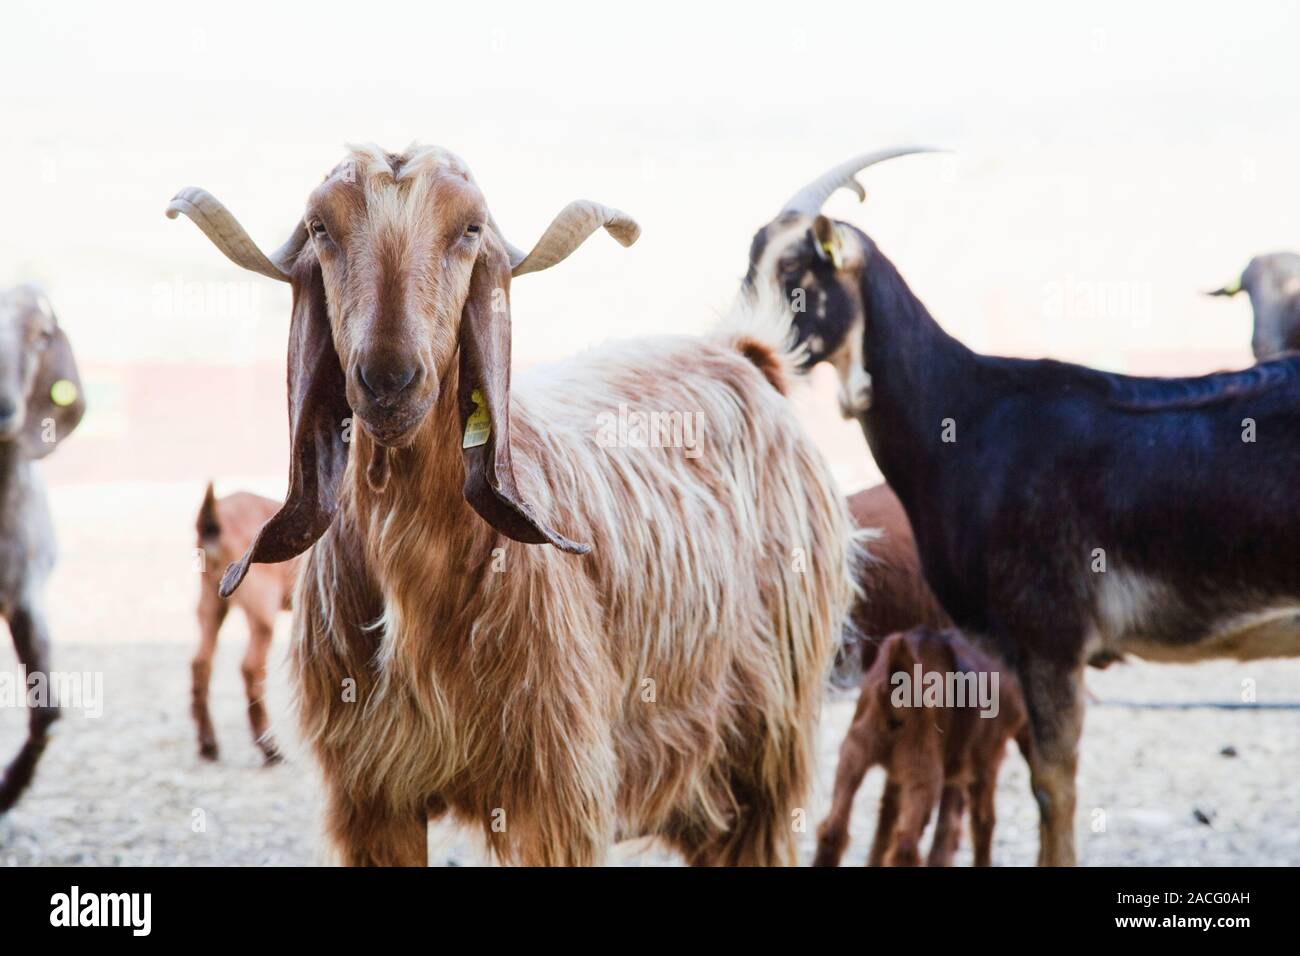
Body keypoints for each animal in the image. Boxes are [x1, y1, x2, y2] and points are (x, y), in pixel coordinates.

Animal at [192, 483, 297, 764]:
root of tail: (213, 518)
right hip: (261, 609)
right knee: (250, 668)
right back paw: (268, 747)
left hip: (211, 602)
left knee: (201, 663)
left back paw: (208, 743)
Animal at [814, 627, 1028, 867]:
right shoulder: (985, 768)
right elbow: (984, 823)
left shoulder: (895, 776)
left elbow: (885, 823)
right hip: (925, 775)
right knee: (905, 847)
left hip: (853, 755)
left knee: (832, 830)